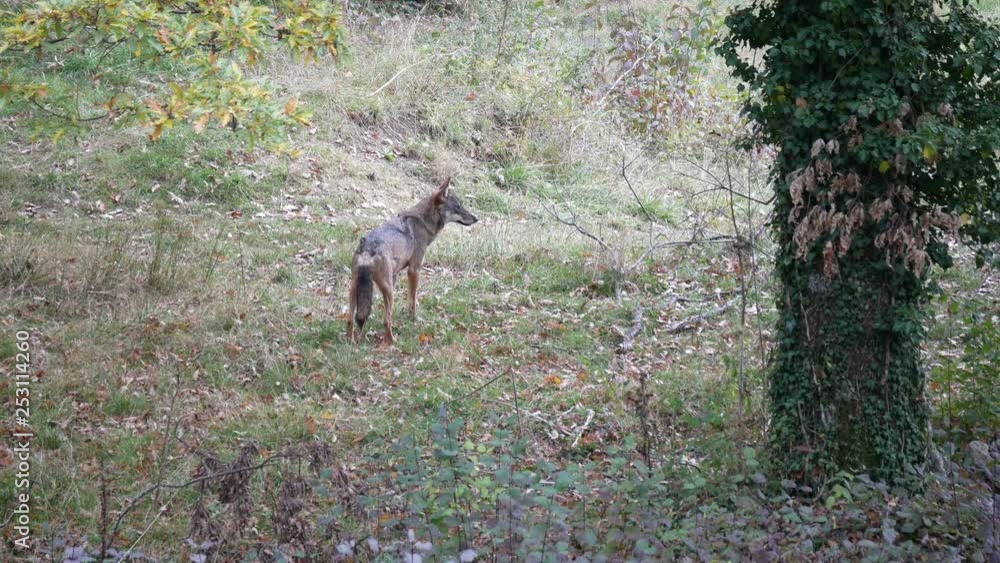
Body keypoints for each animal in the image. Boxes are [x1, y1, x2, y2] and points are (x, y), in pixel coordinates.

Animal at [347, 178, 478, 344]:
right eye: (458, 207)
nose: (476, 218)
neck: (422, 222)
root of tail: (368, 249)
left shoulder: (396, 275)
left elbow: (404, 302)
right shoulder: (414, 270)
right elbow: (413, 300)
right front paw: (413, 319)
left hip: (355, 289)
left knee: (350, 319)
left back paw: (350, 342)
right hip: (388, 291)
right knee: (386, 321)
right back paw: (392, 342)